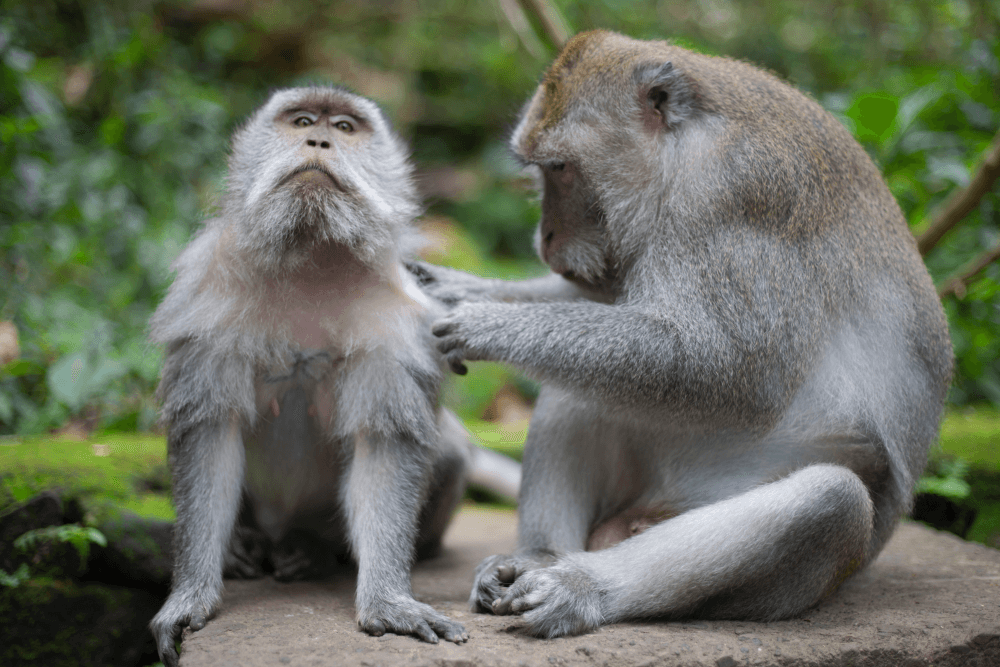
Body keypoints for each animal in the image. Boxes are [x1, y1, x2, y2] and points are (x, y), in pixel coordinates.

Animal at [147, 86, 519, 666]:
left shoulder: (396, 322)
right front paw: (190, 598)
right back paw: (245, 546)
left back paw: (314, 550)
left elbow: (385, 443)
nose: (319, 141)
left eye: (344, 128)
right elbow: (209, 433)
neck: (311, 254)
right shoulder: (208, 295)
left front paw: (388, 602)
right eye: (302, 121)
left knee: (451, 451)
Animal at [410, 30, 953, 638]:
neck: (685, 147)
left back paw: (579, 588)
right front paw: (455, 288)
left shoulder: (733, 199)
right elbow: (616, 308)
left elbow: (724, 369)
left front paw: (486, 323)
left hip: (803, 582)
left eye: (560, 167)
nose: (544, 239)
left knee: (831, 502)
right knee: (577, 383)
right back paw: (538, 557)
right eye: (544, 169)